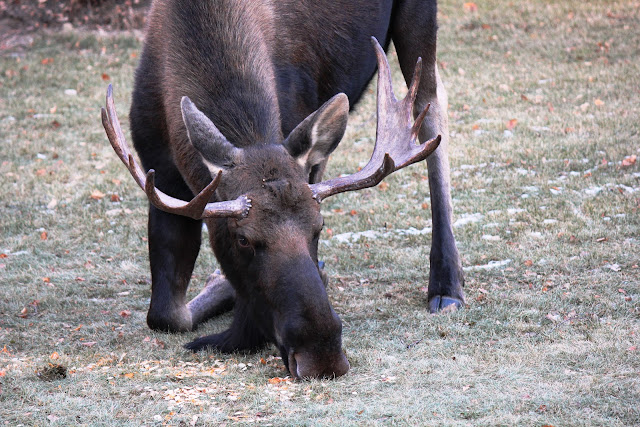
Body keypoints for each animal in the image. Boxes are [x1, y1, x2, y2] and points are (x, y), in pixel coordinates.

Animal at [101, 0, 465, 379]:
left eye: (318, 228)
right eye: (242, 239)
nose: (322, 355)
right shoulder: (160, 174)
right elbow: (166, 315)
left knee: (431, 108)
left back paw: (446, 287)